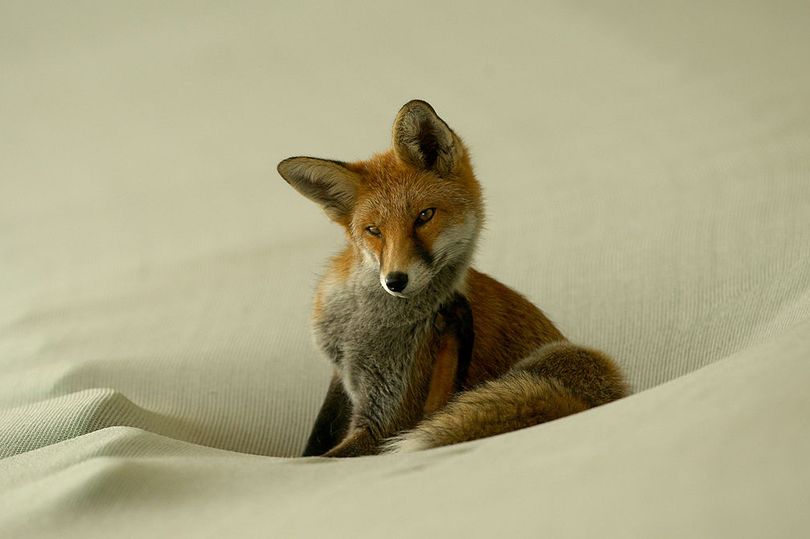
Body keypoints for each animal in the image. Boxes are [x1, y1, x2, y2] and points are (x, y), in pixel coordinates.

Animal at [277, 100, 627, 458]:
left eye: (424, 216)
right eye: (373, 231)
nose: (394, 281)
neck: (363, 324)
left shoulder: (385, 420)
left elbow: (326, 459)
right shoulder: (340, 375)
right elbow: (314, 445)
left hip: (564, 357)